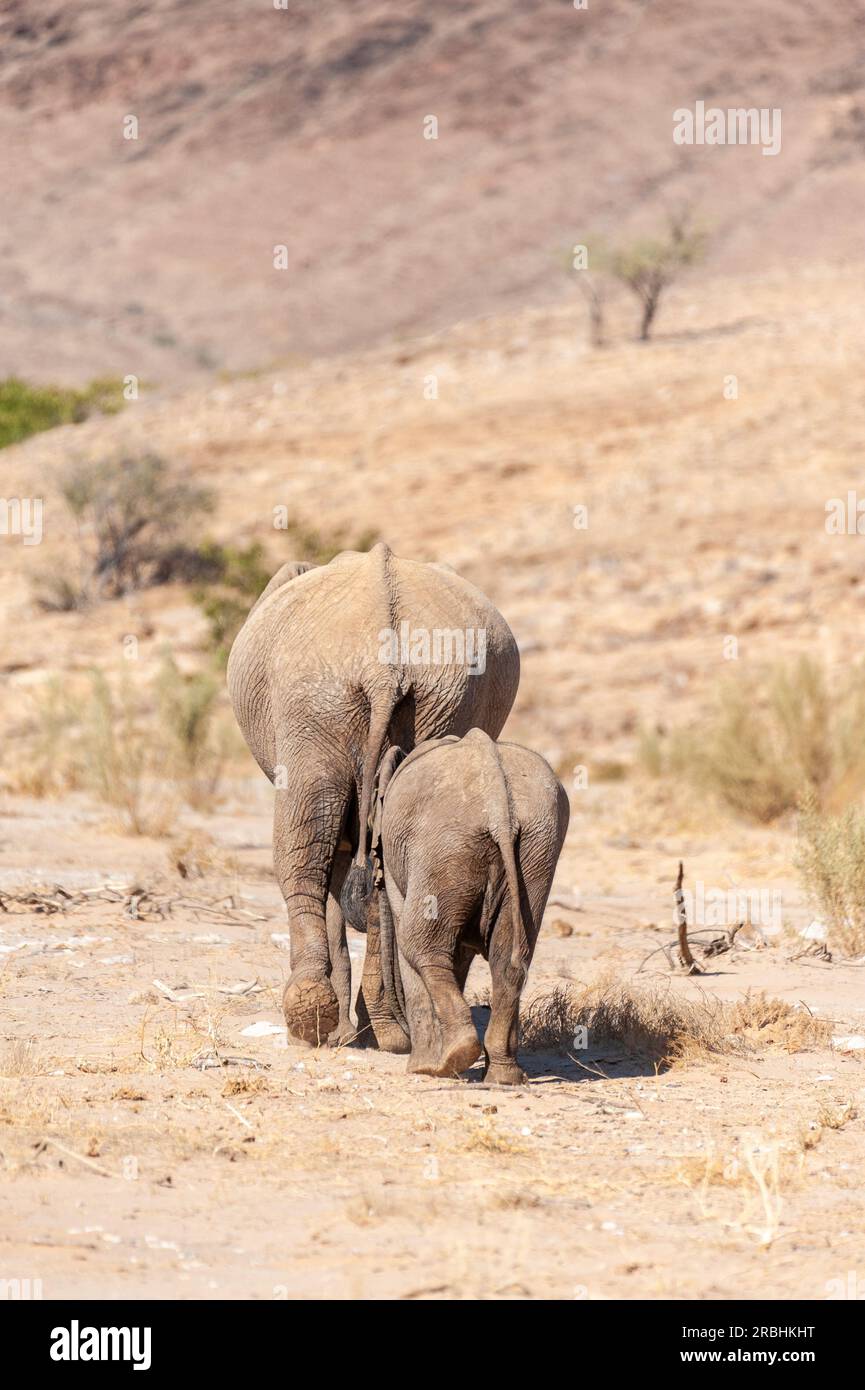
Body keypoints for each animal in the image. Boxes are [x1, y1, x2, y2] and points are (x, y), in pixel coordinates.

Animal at [227, 543, 520, 1047]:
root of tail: (384, 667)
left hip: (315, 703)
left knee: (302, 853)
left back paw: (314, 1022)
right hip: (438, 700)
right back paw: (387, 1029)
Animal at [374, 728, 570, 1083]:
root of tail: (499, 808)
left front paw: (420, 1066)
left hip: (443, 846)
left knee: (418, 944)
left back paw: (447, 1061)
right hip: (536, 847)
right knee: (510, 959)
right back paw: (503, 1076)